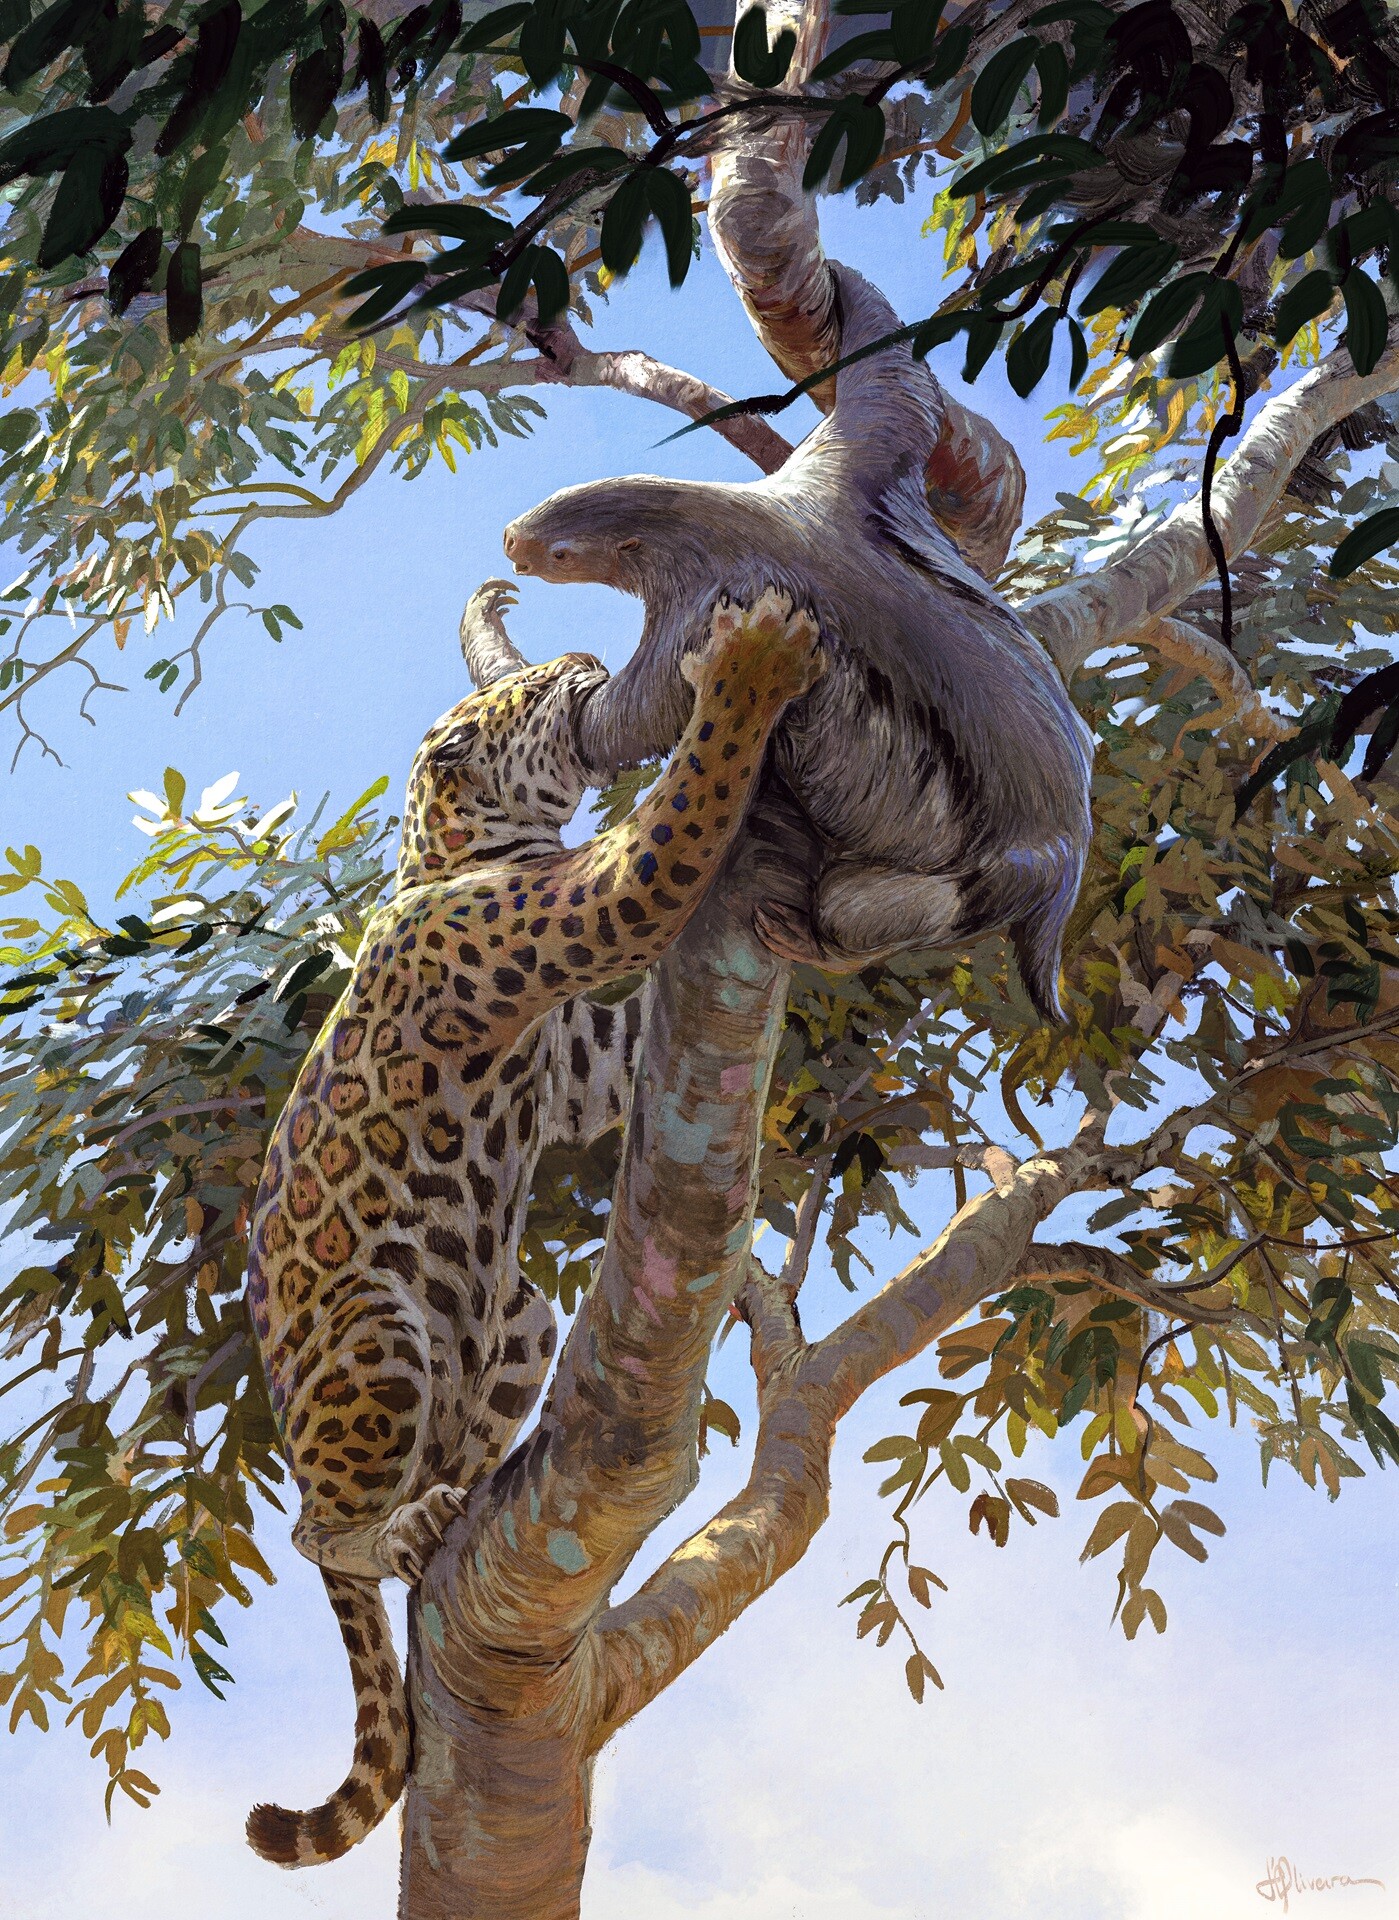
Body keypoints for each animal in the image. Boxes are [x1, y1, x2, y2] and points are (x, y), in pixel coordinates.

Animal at [243, 587, 824, 1867]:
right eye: (529, 692)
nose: (580, 653)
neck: (445, 851)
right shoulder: (581, 911)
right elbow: (682, 810)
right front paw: (748, 671)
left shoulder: (580, 1063)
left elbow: (629, 1037)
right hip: (375, 1333)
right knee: (312, 1530)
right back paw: (391, 1530)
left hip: (514, 1316)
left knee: (465, 1420)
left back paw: (456, 1496)